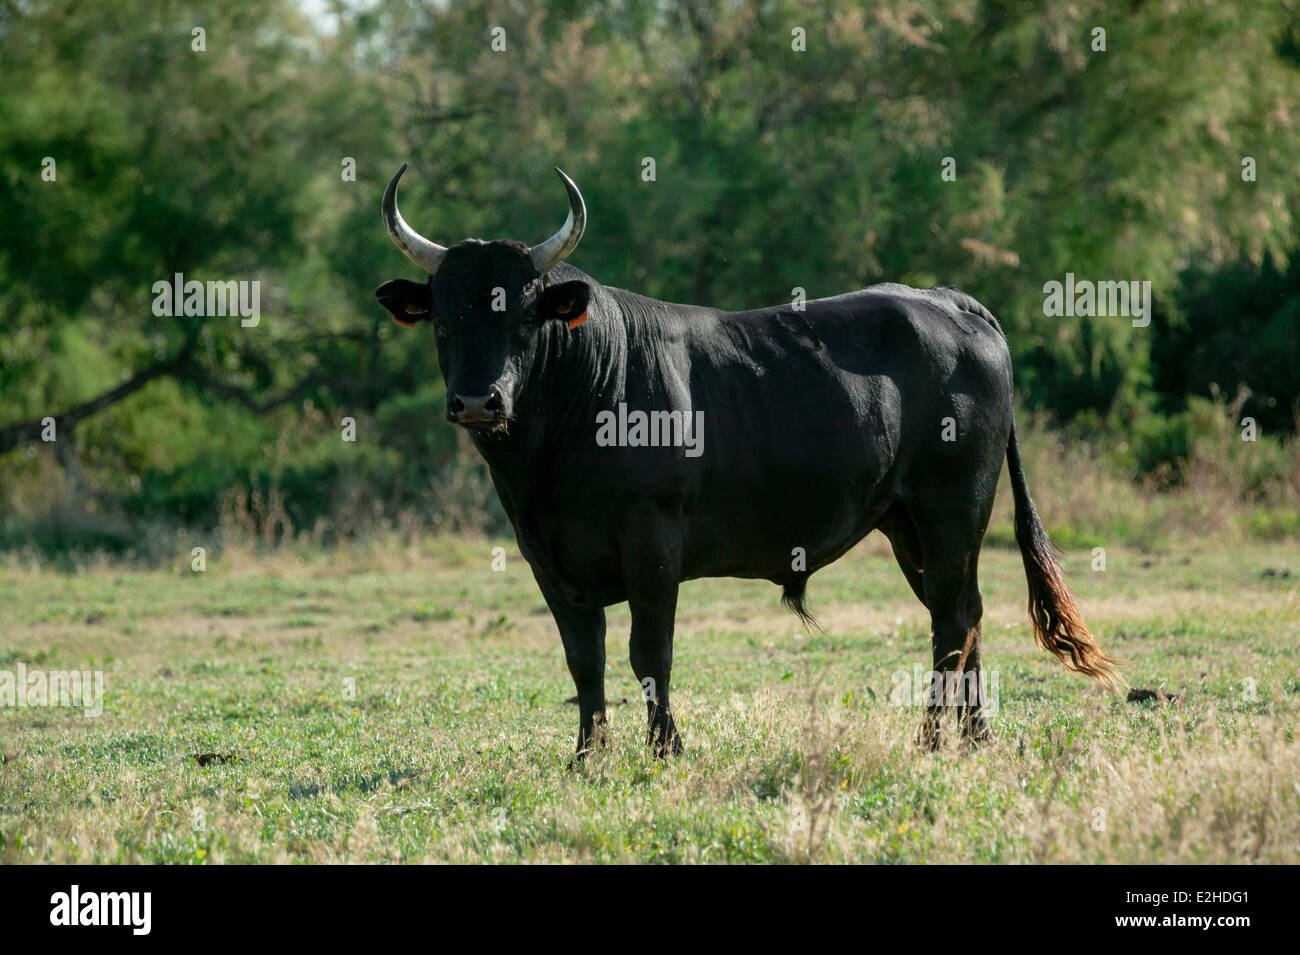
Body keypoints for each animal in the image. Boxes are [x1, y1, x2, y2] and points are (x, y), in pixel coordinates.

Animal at [375, 163, 1121, 758]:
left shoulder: (653, 542)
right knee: (964, 612)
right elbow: (584, 659)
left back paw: (935, 737)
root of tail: (946, 299)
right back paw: (974, 735)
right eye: (444, 320)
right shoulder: (546, 557)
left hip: (953, 508)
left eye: (525, 317)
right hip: (910, 522)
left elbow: (649, 652)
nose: (479, 400)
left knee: (953, 620)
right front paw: (587, 756)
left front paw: (666, 750)